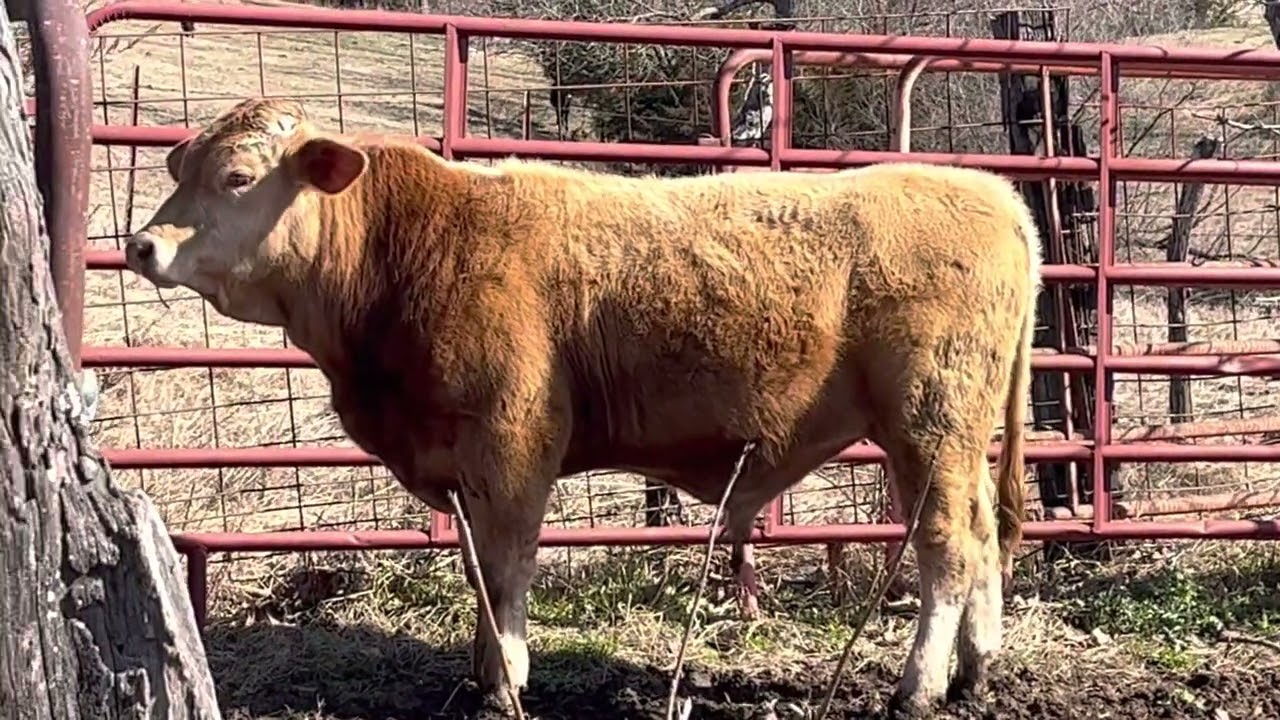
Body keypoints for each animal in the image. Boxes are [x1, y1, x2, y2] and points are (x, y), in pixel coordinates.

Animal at [123, 97, 1041, 719]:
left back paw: (918, 686)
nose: (142, 245)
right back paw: (973, 671)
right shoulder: (462, 467)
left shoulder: (511, 445)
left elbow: (506, 568)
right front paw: (480, 669)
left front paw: (506, 683)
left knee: (948, 548)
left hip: (930, 425)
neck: (408, 250)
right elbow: (478, 573)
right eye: (182, 171)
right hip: (950, 439)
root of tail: (992, 194)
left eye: (237, 177)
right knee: (980, 539)